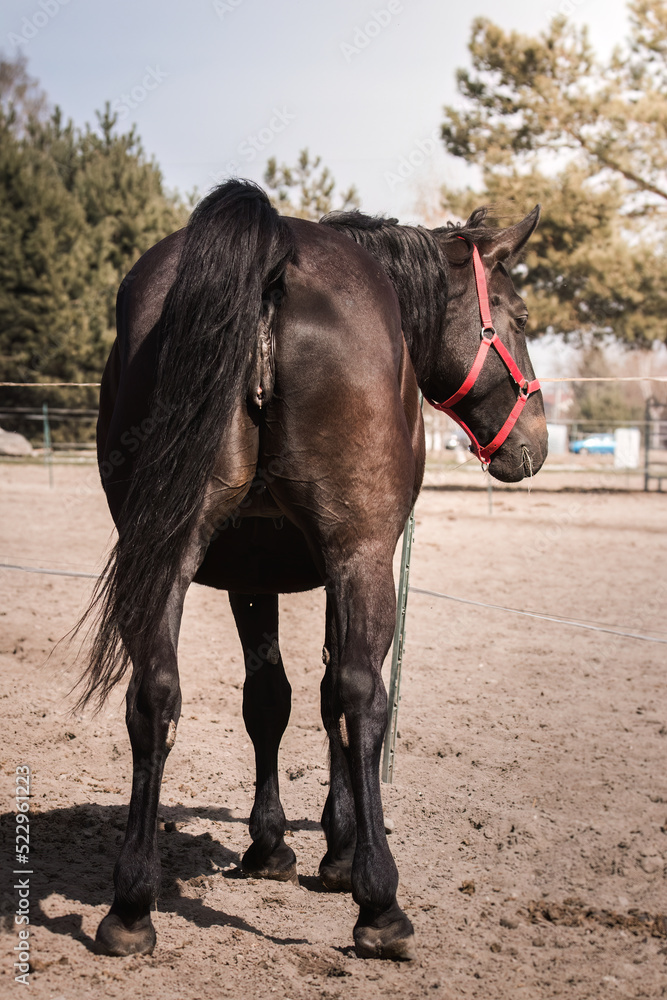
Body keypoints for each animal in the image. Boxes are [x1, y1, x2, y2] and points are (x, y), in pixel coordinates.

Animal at [77, 179, 547, 961]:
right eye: (517, 317)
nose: (534, 442)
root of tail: (272, 256)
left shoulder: (251, 574)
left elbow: (268, 699)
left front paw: (269, 846)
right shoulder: (350, 558)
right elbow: (336, 697)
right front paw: (339, 851)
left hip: (166, 548)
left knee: (154, 695)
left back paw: (132, 905)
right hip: (359, 553)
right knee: (362, 697)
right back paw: (380, 906)